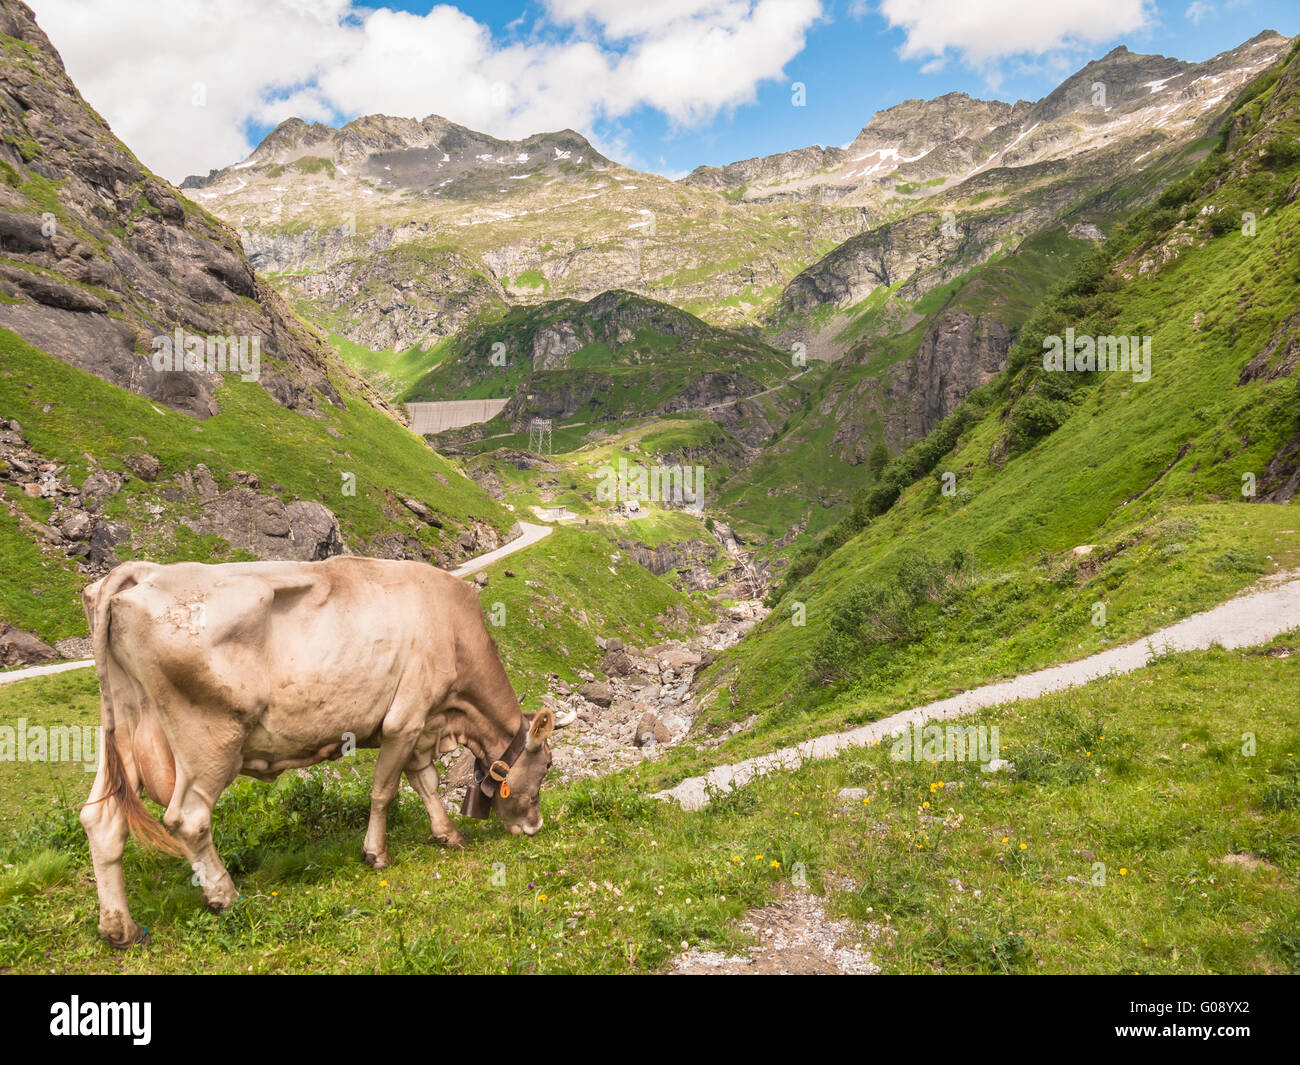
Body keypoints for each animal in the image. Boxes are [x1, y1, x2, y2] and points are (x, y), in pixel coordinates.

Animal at [77, 557, 554, 948]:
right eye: (546, 766)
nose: (536, 826)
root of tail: (145, 572)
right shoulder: (404, 720)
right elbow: (385, 791)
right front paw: (376, 854)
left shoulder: (422, 723)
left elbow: (427, 782)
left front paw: (448, 834)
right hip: (208, 739)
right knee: (188, 819)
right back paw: (226, 896)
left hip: (126, 729)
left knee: (101, 819)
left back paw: (119, 928)